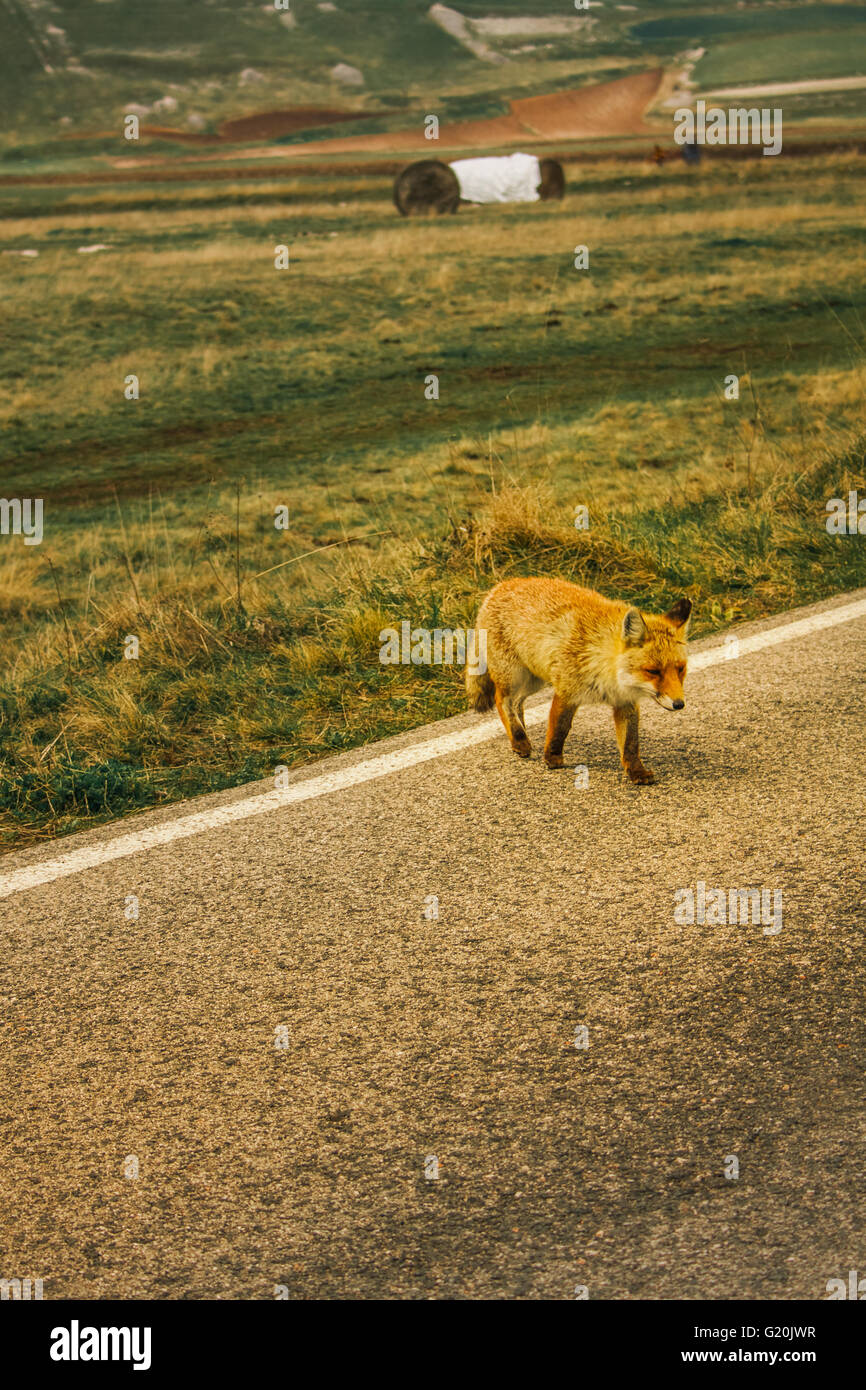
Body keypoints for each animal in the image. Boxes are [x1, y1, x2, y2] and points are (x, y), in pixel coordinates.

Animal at [465, 577, 692, 784]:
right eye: (653, 671)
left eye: (680, 669)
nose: (679, 704)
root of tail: (499, 586)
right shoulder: (567, 691)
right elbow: (560, 728)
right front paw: (552, 759)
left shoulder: (625, 702)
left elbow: (630, 743)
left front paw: (636, 772)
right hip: (515, 677)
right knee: (502, 701)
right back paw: (519, 739)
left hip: (534, 680)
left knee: (517, 703)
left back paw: (520, 734)